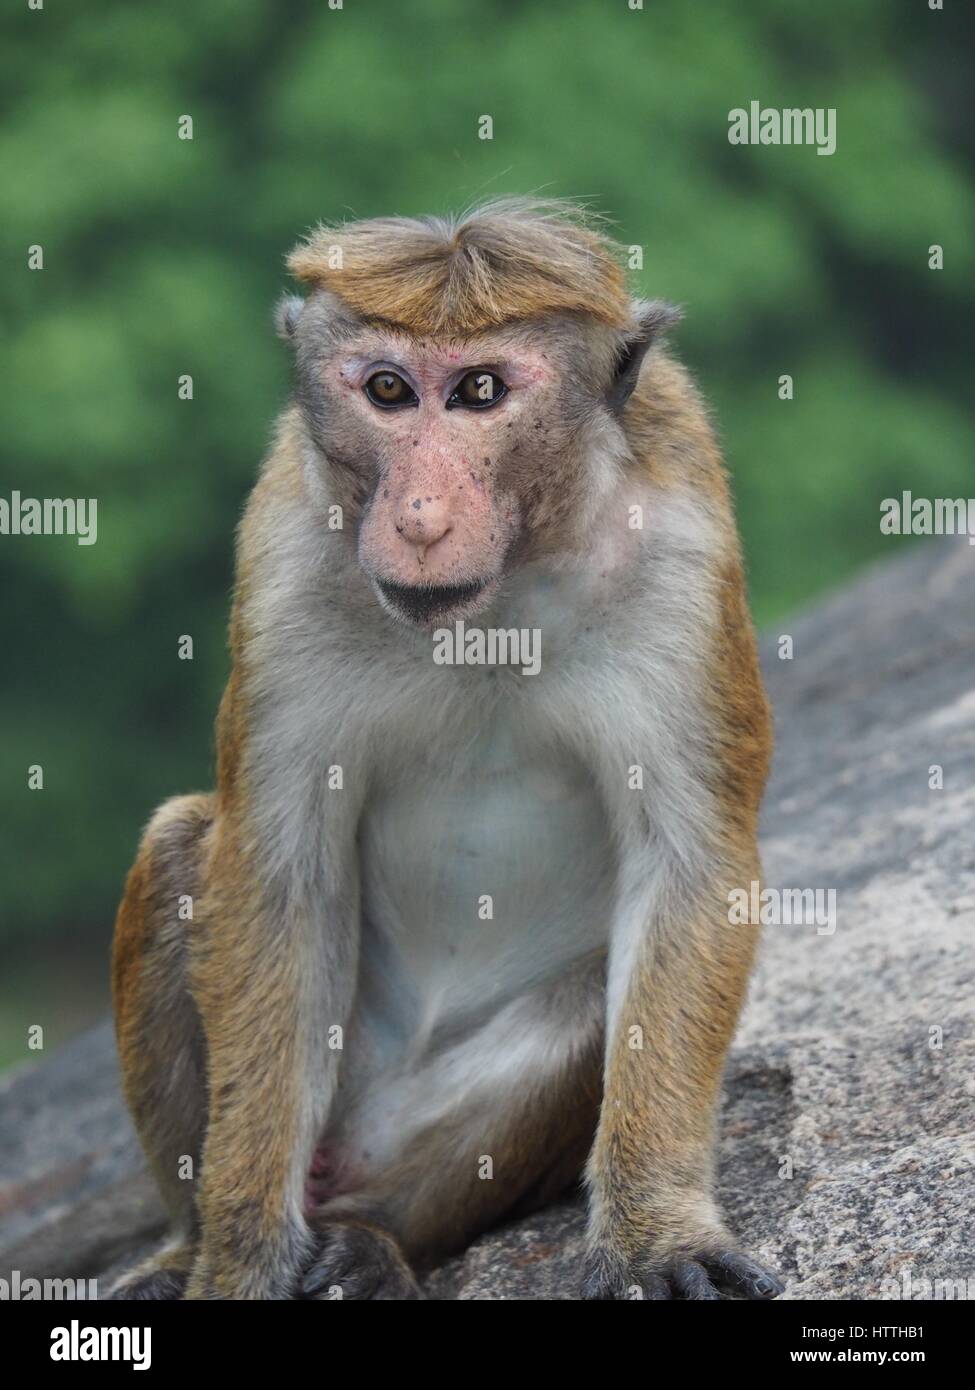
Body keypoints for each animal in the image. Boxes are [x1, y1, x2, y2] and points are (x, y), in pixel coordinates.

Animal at [109, 198, 783, 1302]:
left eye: (481, 392)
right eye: (388, 389)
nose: (420, 516)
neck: (498, 597)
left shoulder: (682, 546)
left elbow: (689, 870)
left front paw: (655, 1233)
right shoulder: (285, 550)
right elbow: (275, 879)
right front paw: (240, 1262)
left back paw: (374, 1241)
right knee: (178, 849)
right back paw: (187, 1247)